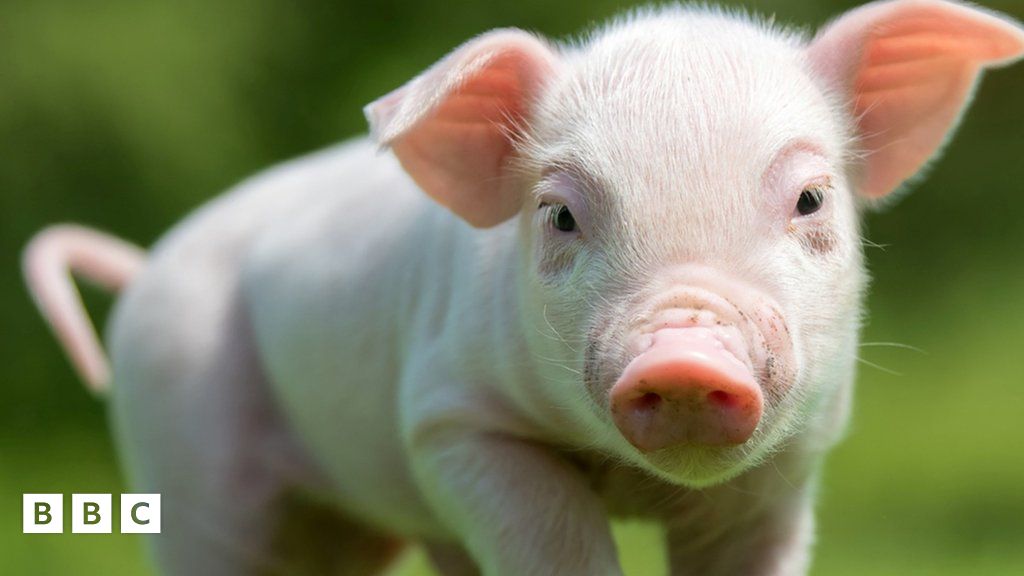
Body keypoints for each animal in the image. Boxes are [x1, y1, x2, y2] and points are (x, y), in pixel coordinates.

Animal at [22, 1, 1024, 575]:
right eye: (561, 216)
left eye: (812, 198)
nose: (685, 355)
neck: (635, 486)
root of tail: (147, 265)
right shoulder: (450, 418)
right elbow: (554, 537)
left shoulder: (788, 468)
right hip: (180, 450)